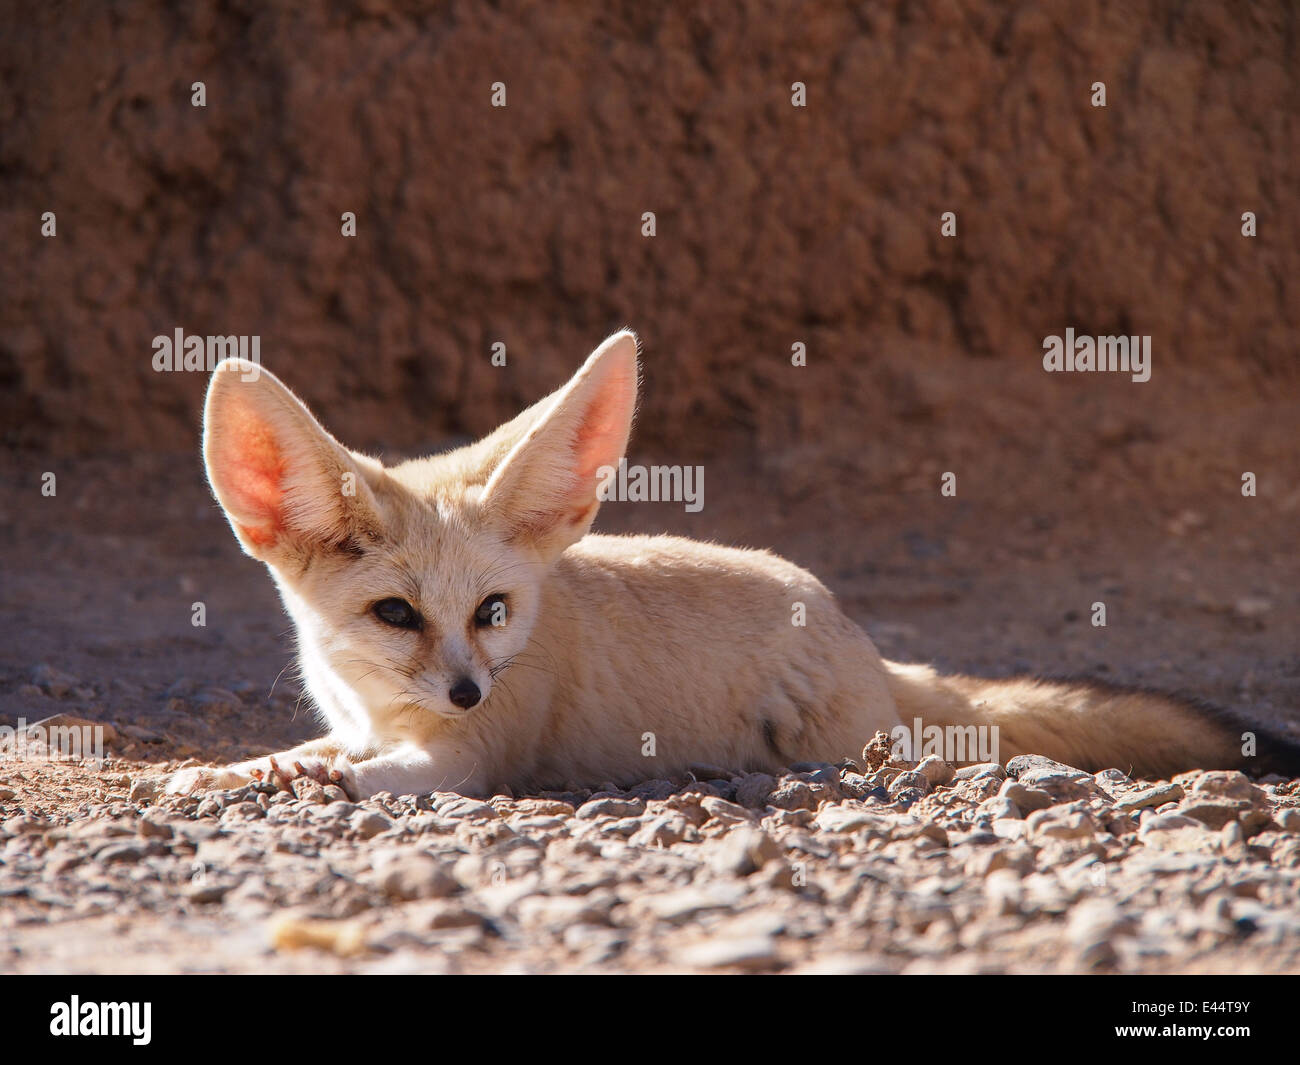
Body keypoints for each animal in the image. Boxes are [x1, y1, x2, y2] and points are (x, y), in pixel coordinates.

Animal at [168, 331, 1300, 800]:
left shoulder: (472, 759)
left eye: (492, 610)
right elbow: (308, 751)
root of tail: (863, 640)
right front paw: (248, 765)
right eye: (396, 614)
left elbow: (380, 774)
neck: (380, 705)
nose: (465, 690)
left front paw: (307, 775)